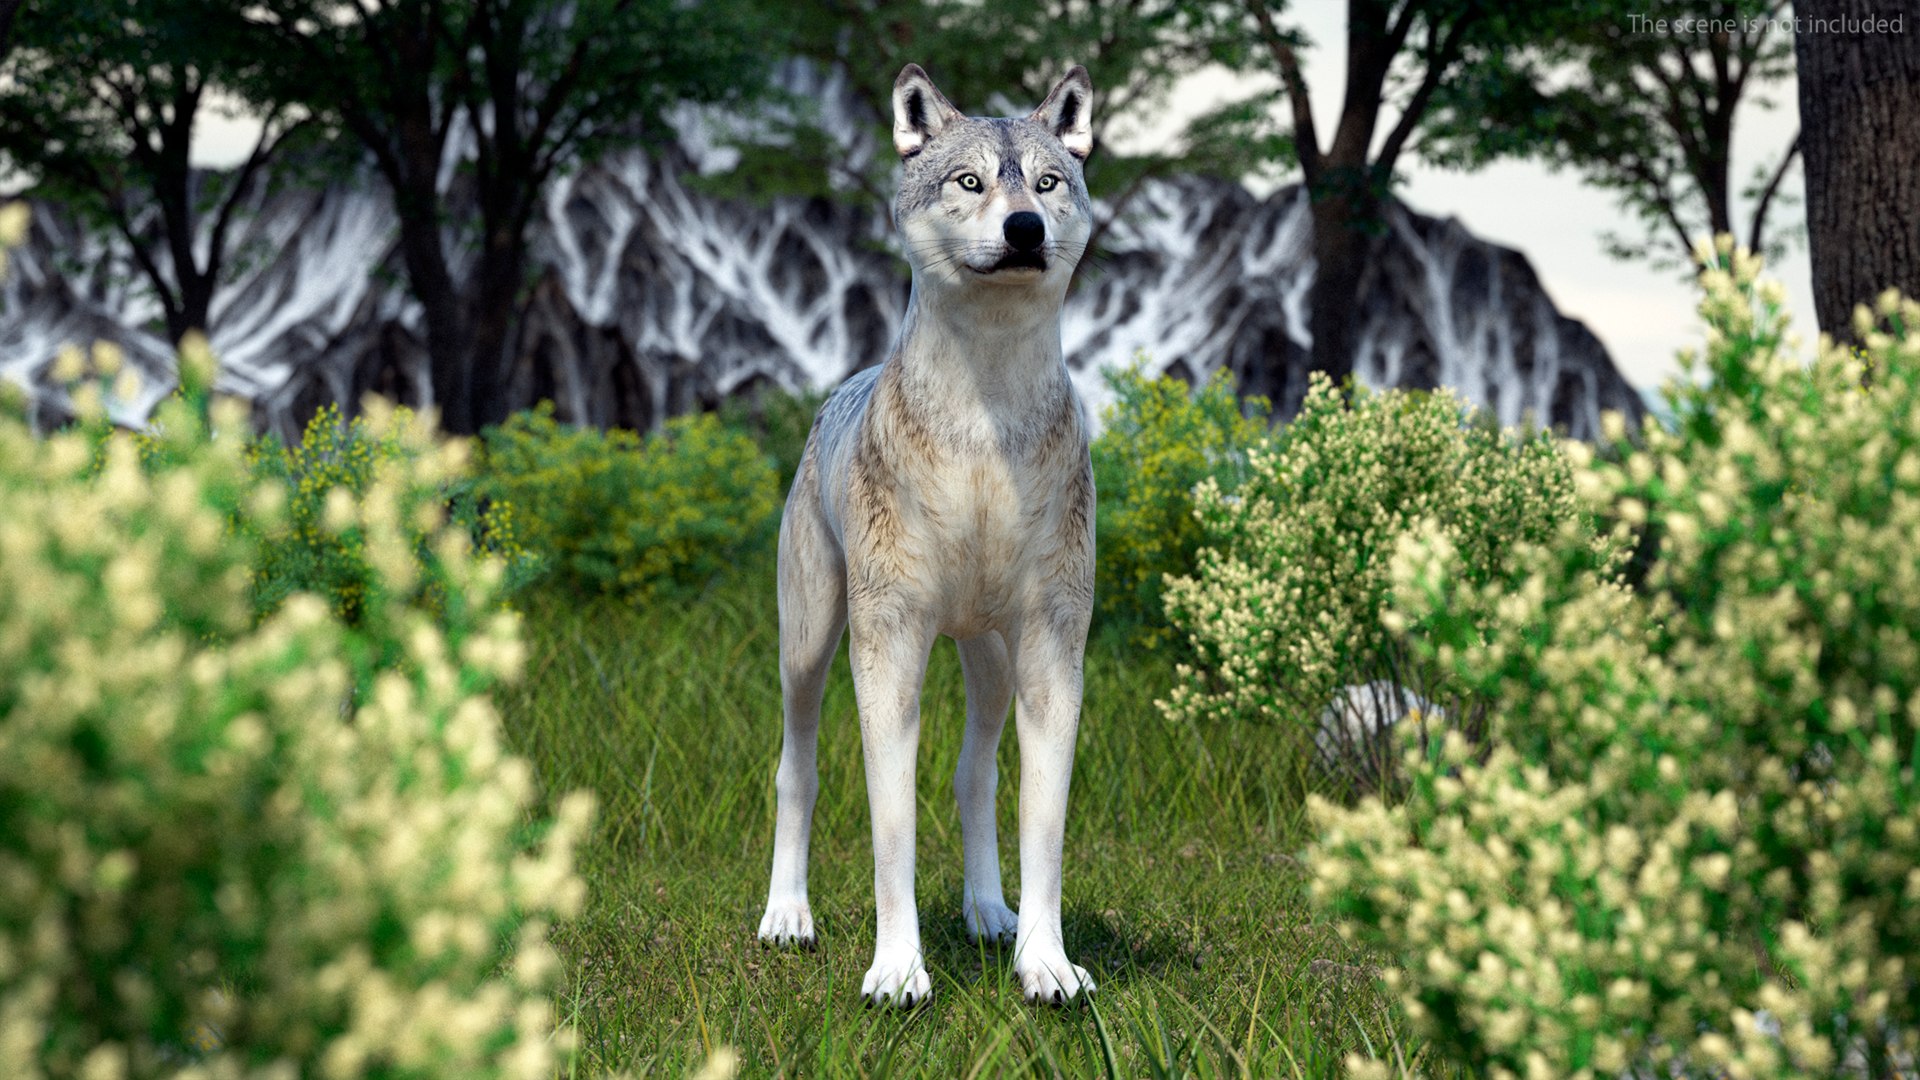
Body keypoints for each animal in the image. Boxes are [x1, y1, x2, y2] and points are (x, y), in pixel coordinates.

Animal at [755, 62, 1100, 1008]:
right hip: (808, 644)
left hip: (991, 659)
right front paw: (898, 973)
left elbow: (1044, 829)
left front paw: (1046, 966)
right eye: (970, 182)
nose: (1023, 229)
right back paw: (786, 918)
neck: (984, 431)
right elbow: (891, 831)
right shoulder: (889, 643)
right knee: (795, 768)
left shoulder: (1053, 648)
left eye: (1046, 183)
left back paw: (989, 913)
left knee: (975, 775)